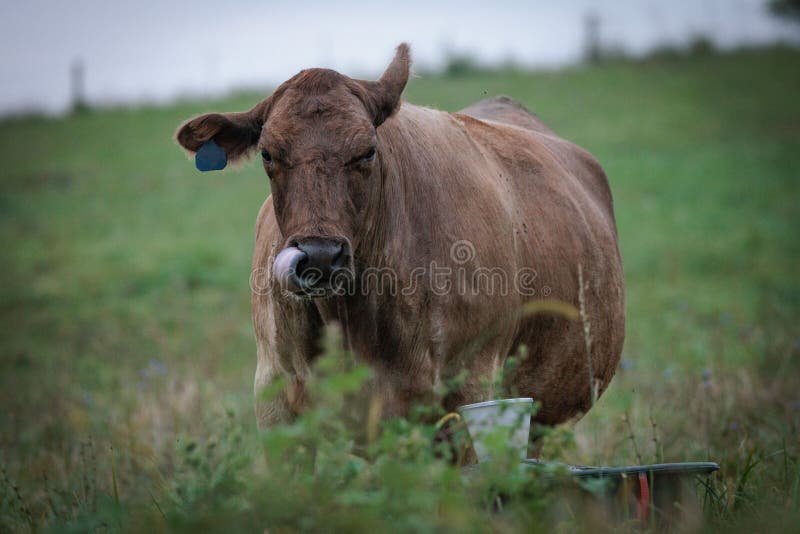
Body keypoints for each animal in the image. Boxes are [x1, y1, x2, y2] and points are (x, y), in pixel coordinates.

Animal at [175, 43, 625, 453]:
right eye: (268, 154)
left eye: (367, 151)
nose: (320, 256)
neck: (352, 324)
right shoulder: (275, 397)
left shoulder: (474, 393)